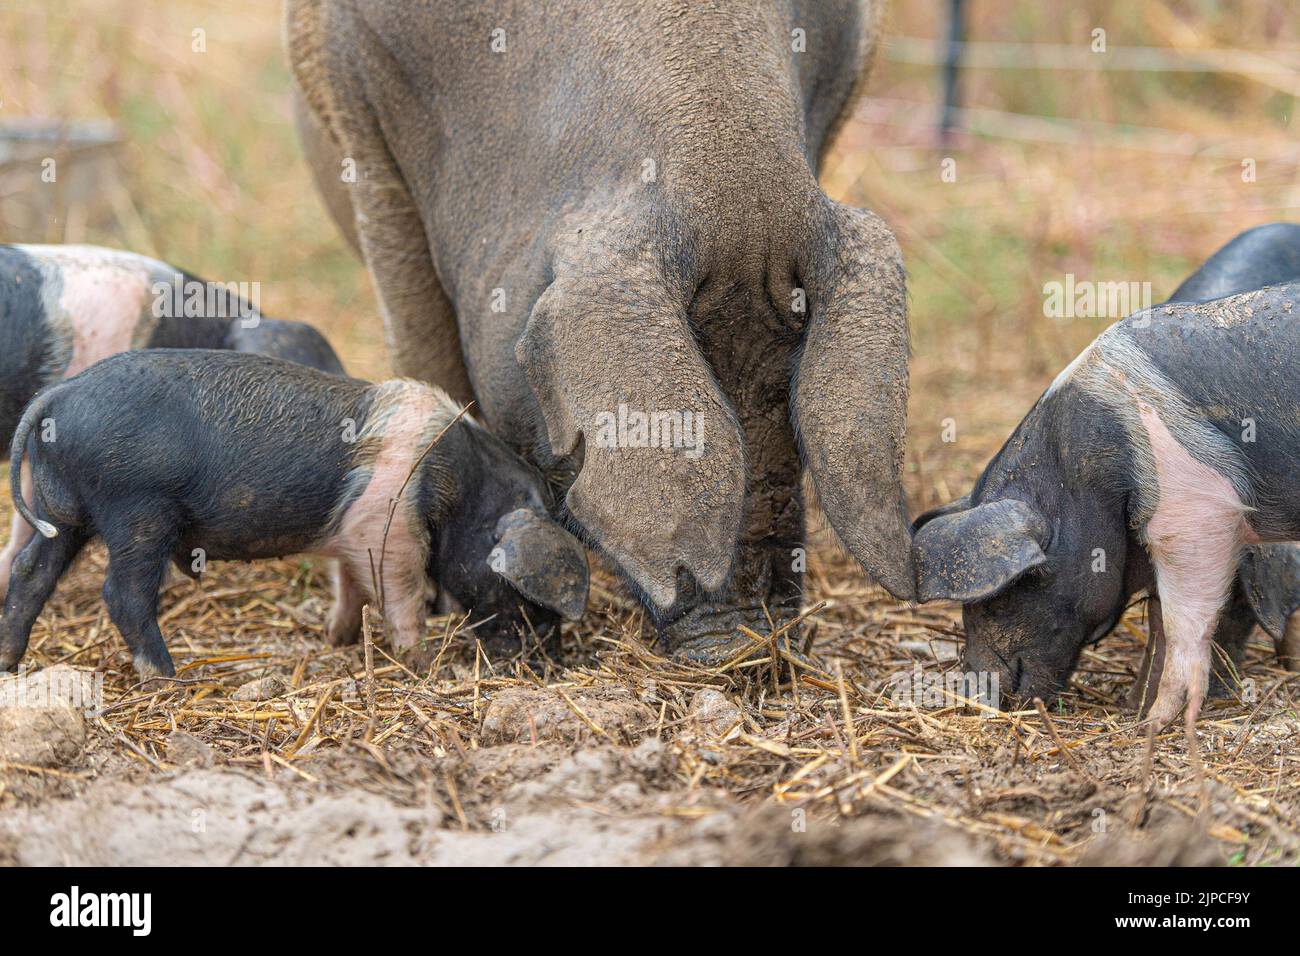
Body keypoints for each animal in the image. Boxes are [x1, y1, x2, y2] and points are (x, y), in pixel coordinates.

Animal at [0, 349, 589, 678]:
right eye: (522, 594)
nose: (548, 668)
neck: (459, 484)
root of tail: (59, 394)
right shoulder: (387, 526)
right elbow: (401, 596)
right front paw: (422, 666)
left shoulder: (351, 536)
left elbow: (350, 586)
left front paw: (337, 640)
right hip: (138, 512)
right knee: (122, 595)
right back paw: (171, 679)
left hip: (64, 513)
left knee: (30, 571)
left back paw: (9, 661)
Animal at [912, 281, 1300, 730]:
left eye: (1006, 594)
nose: (975, 695)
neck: (1081, 472)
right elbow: (1159, 619)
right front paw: (1137, 710)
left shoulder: (1197, 506)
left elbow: (1181, 622)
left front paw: (1154, 723)